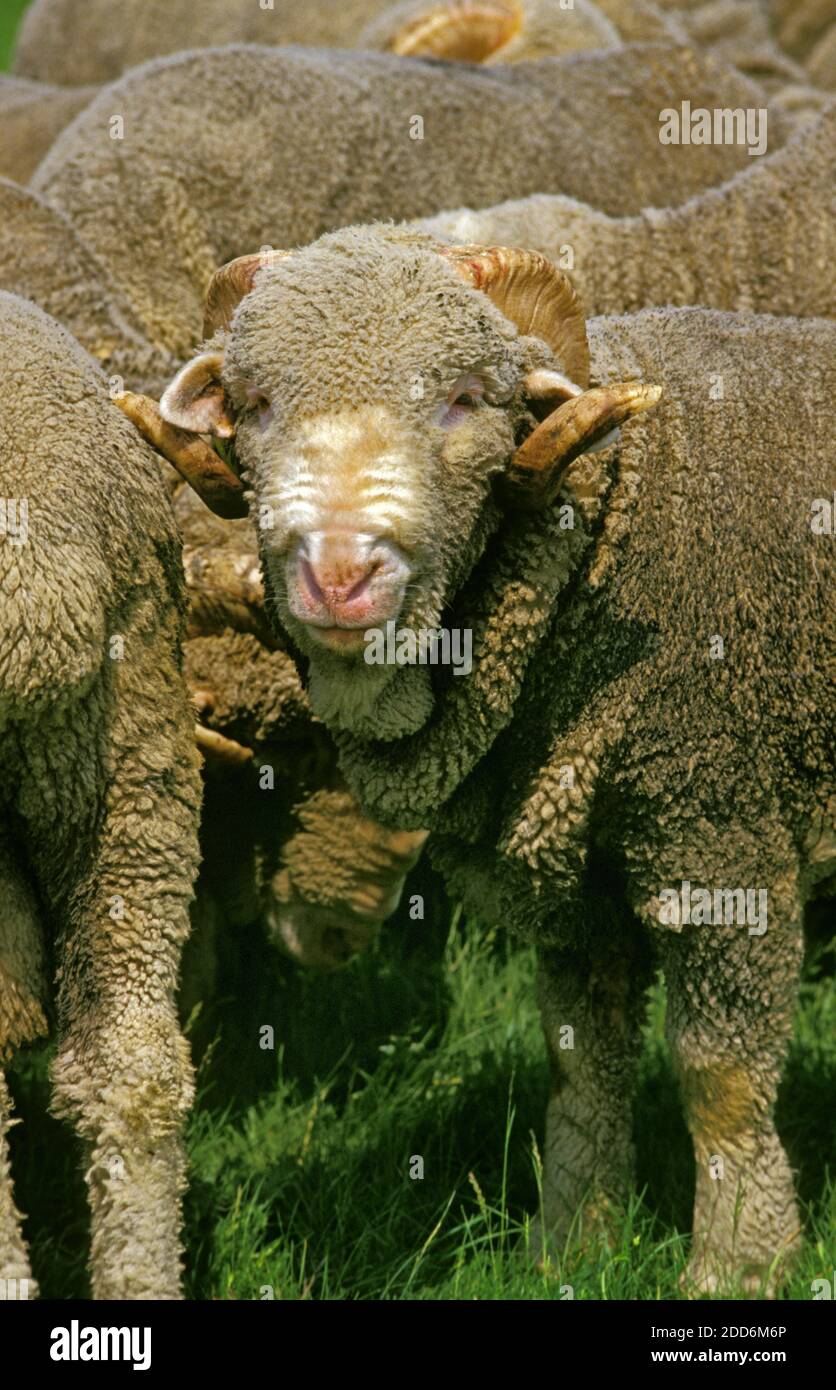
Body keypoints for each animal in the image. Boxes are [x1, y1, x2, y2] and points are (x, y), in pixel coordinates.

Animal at [141, 227, 834, 1292]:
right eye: (252, 405)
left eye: (467, 398)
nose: (339, 576)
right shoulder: (580, 879)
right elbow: (580, 1066)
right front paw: (572, 1247)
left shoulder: (719, 827)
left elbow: (720, 1079)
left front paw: (738, 1266)